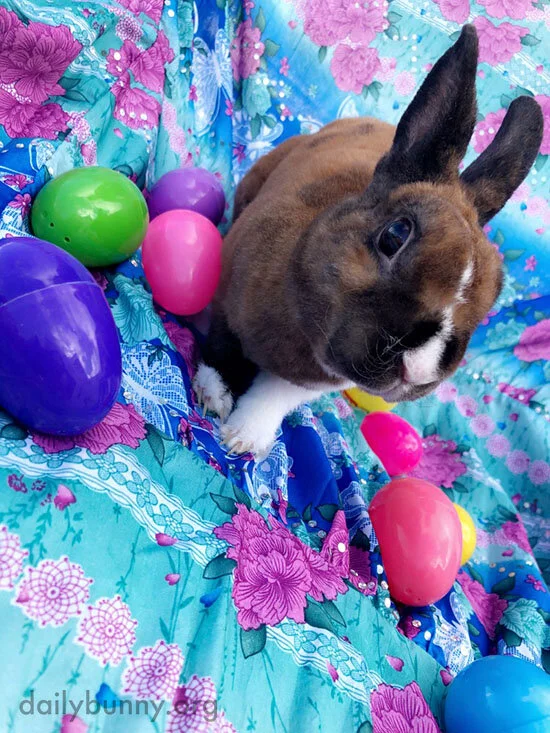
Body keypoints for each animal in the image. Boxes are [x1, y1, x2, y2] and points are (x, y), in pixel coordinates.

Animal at [193, 25, 543, 458]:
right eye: (395, 235)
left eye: (495, 294)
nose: (421, 367)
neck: (305, 330)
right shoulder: (226, 297)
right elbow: (223, 349)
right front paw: (215, 396)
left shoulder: (307, 383)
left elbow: (271, 398)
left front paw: (245, 438)